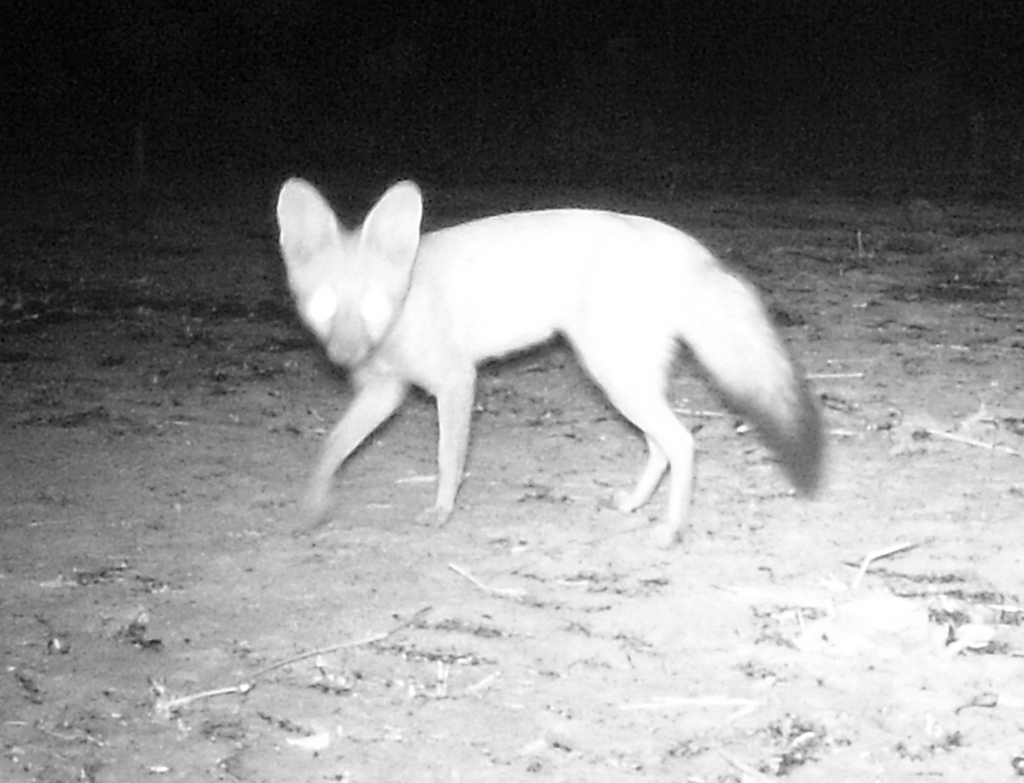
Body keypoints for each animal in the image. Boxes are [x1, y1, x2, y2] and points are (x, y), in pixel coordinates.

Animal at [275, 178, 823, 546]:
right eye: (323, 305)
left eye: (372, 304)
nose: (343, 356)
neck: (408, 299)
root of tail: (671, 237)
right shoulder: (383, 391)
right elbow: (330, 448)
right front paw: (312, 507)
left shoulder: (455, 381)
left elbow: (449, 458)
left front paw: (442, 511)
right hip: (627, 382)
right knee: (661, 445)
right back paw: (635, 504)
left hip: (613, 375)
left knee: (683, 442)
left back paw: (670, 529)